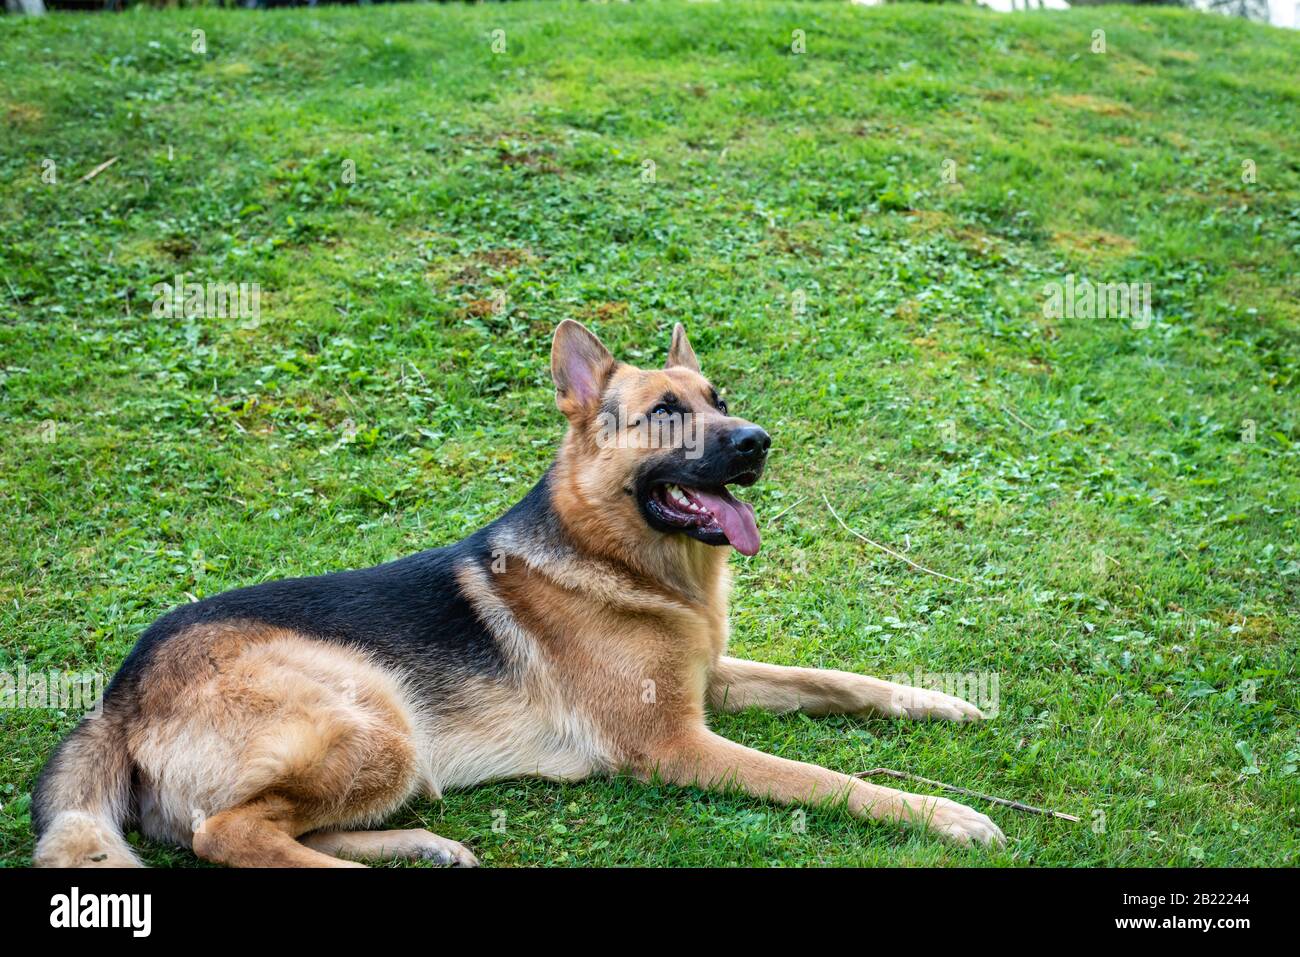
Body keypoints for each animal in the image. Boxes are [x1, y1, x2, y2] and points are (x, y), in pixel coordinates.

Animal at [32, 321, 1003, 868]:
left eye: (719, 398)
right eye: (665, 413)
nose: (757, 441)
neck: (620, 561)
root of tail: (117, 695)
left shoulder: (715, 677)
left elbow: (837, 680)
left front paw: (939, 700)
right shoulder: (677, 743)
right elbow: (828, 778)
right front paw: (944, 813)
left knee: (261, 829)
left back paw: (418, 846)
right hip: (375, 717)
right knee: (226, 835)